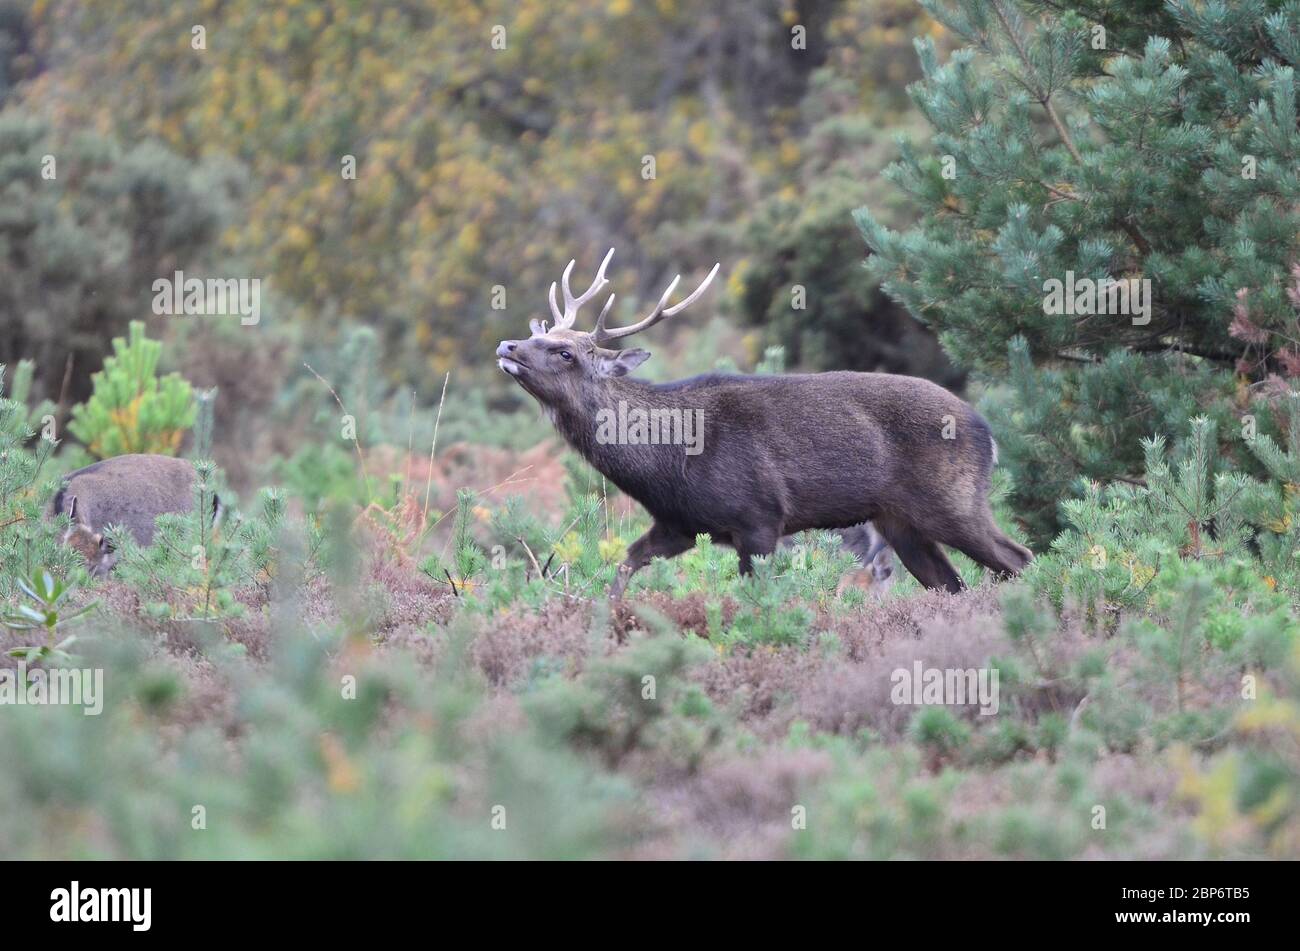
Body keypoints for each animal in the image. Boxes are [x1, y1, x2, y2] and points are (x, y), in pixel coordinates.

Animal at [496, 249, 1032, 599]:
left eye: (565, 352)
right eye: (535, 336)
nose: (507, 346)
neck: (668, 460)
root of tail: (988, 432)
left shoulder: (759, 516)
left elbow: (757, 598)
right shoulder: (678, 525)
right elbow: (622, 571)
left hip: (953, 498)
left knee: (1017, 559)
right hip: (899, 520)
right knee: (952, 585)